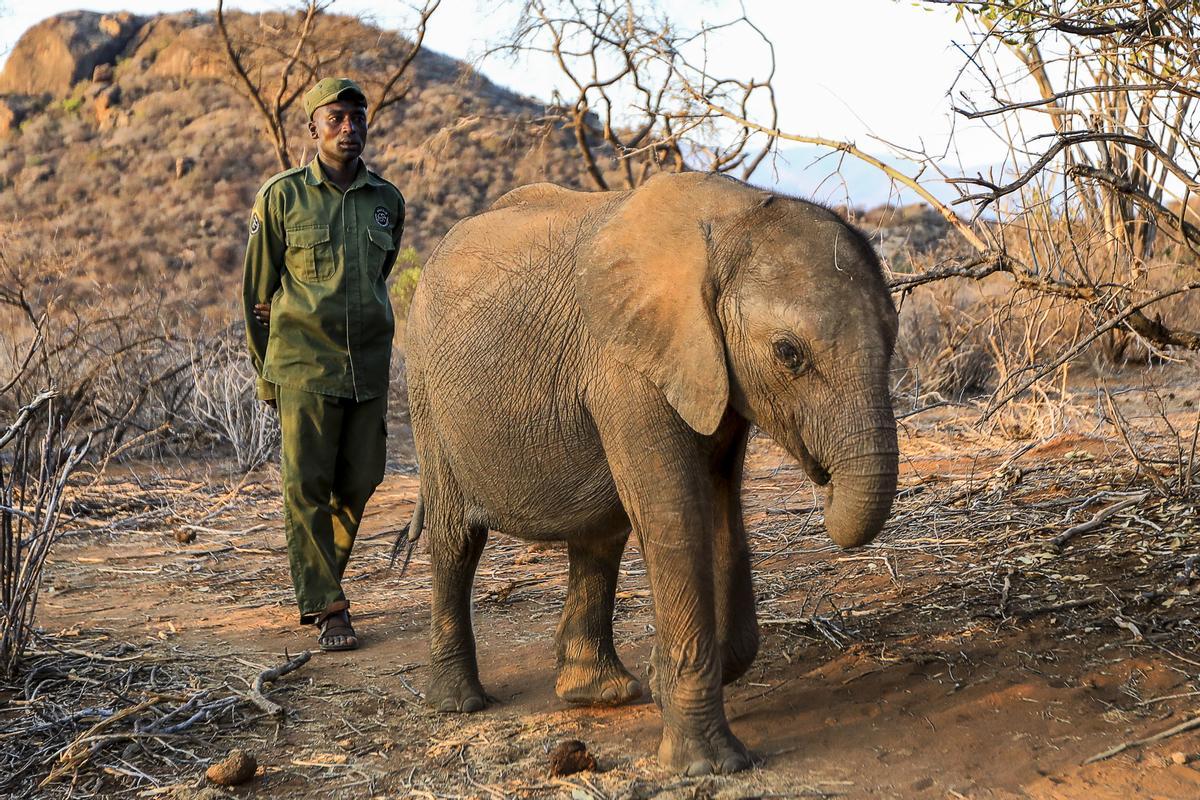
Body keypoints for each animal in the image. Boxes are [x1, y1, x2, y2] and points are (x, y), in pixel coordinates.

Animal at [402, 171, 899, 775]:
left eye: (894, 334)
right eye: (789, 353)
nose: (823, 481)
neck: (731, 221)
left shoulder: (709, 370)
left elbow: (719, 507)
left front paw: (665, 681)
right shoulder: (626, 365)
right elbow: (675, 511)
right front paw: (708, 765)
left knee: (599, 535)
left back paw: (601, 693)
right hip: (424, 391)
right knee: (457, 541)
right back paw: (459, 703)